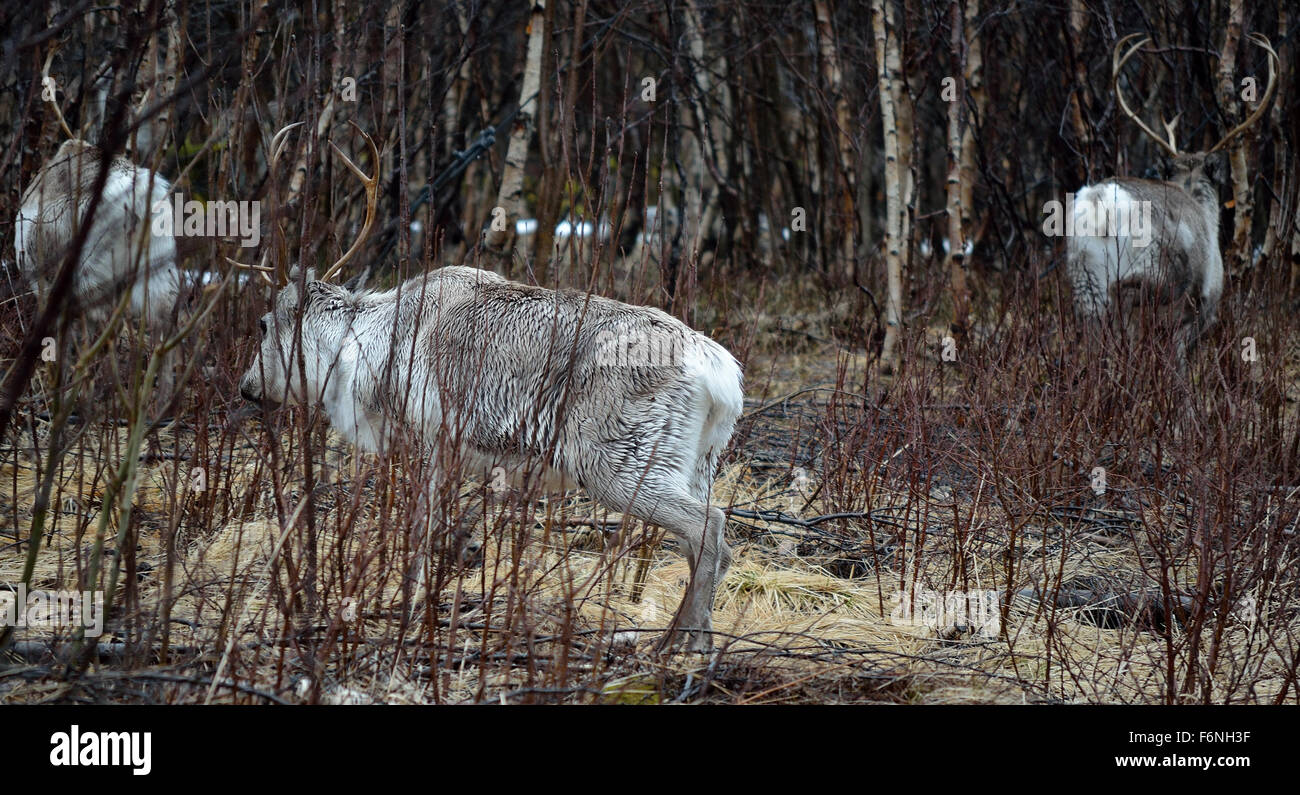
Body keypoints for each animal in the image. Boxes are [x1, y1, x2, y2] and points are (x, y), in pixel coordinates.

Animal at [237, 129, 743, 653]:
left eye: (262, 324)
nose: (246, 388)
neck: (372, 348)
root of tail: (721, 372)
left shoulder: (433, 440)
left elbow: (421, 528)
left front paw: (407, 608)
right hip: (697, 461)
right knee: (710, 542)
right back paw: (687, 638)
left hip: (623, 464)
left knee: (709, 527)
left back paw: (684, 643)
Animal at [1065, 33, 1278, 363]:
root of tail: (1099, 202)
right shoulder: (1199, 309)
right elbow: (1178, 364)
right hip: (1154, 272)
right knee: (1124, 295)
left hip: (1083, 278)